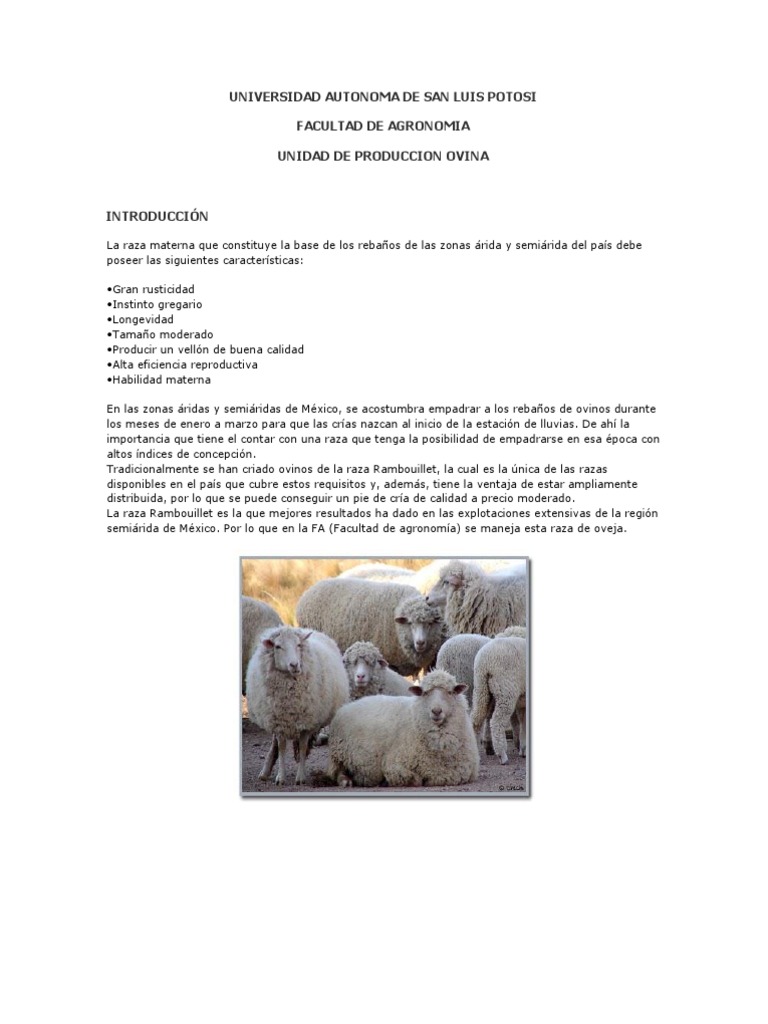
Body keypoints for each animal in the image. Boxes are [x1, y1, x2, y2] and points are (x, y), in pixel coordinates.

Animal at [246, 626, 349, 785]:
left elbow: (302, 746)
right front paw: (280, 777)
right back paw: (265, 772)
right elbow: (281, 748)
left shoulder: (306, 722)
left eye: (298, 645)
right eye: (277, 646)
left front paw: (300, 777)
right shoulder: (279, 722)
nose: (294, 665)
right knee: (274, 745)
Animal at [327, 670, 479, 788]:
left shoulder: (461, 772)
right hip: (339, 754)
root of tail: (347, 706)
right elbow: (415, 780)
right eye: (424, 693)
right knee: (336, 772)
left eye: (450, 692)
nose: (436, 711)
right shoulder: (394, 765)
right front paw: (385, 782)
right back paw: (346, 781)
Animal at [471, 635, 527, 764]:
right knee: (496, 721)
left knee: (476, 719)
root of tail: (485, 661)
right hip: (506, 690)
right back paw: (502, 755)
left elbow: (524, 723)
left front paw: (524, 750)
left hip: (481, 688)